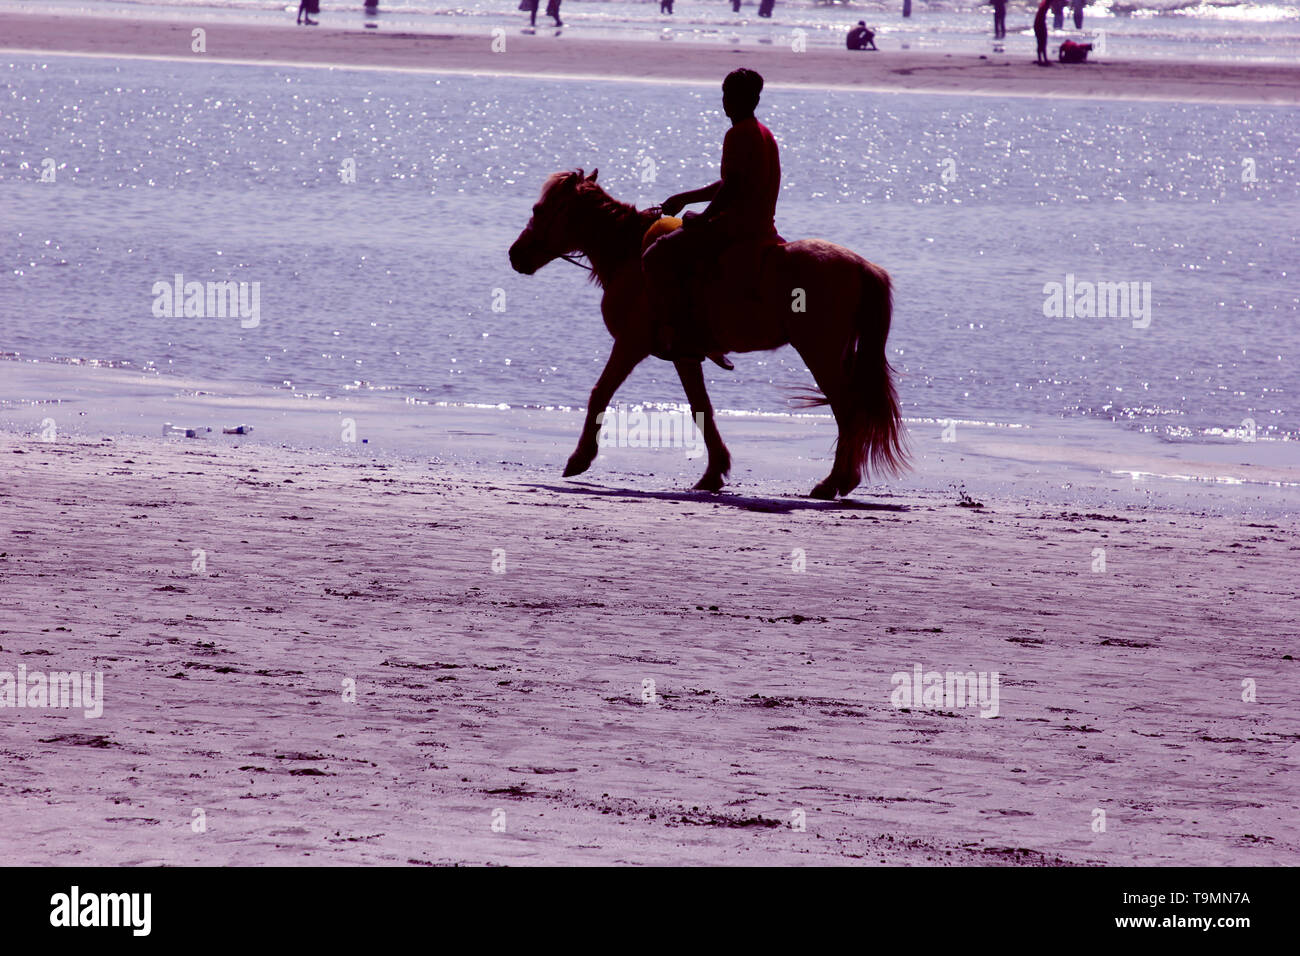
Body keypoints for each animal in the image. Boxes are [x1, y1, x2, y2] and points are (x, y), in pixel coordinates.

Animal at [507, 168, 908, 499]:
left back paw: (835, 481)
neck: (630, 256)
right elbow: (702, 407)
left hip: (819, 353)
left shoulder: (631, 344)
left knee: (848, 410)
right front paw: (714, 472)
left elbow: (600, 393)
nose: (515, 254)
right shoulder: (685, 355)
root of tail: (862, 266)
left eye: (539, 210)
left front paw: (580, 458)